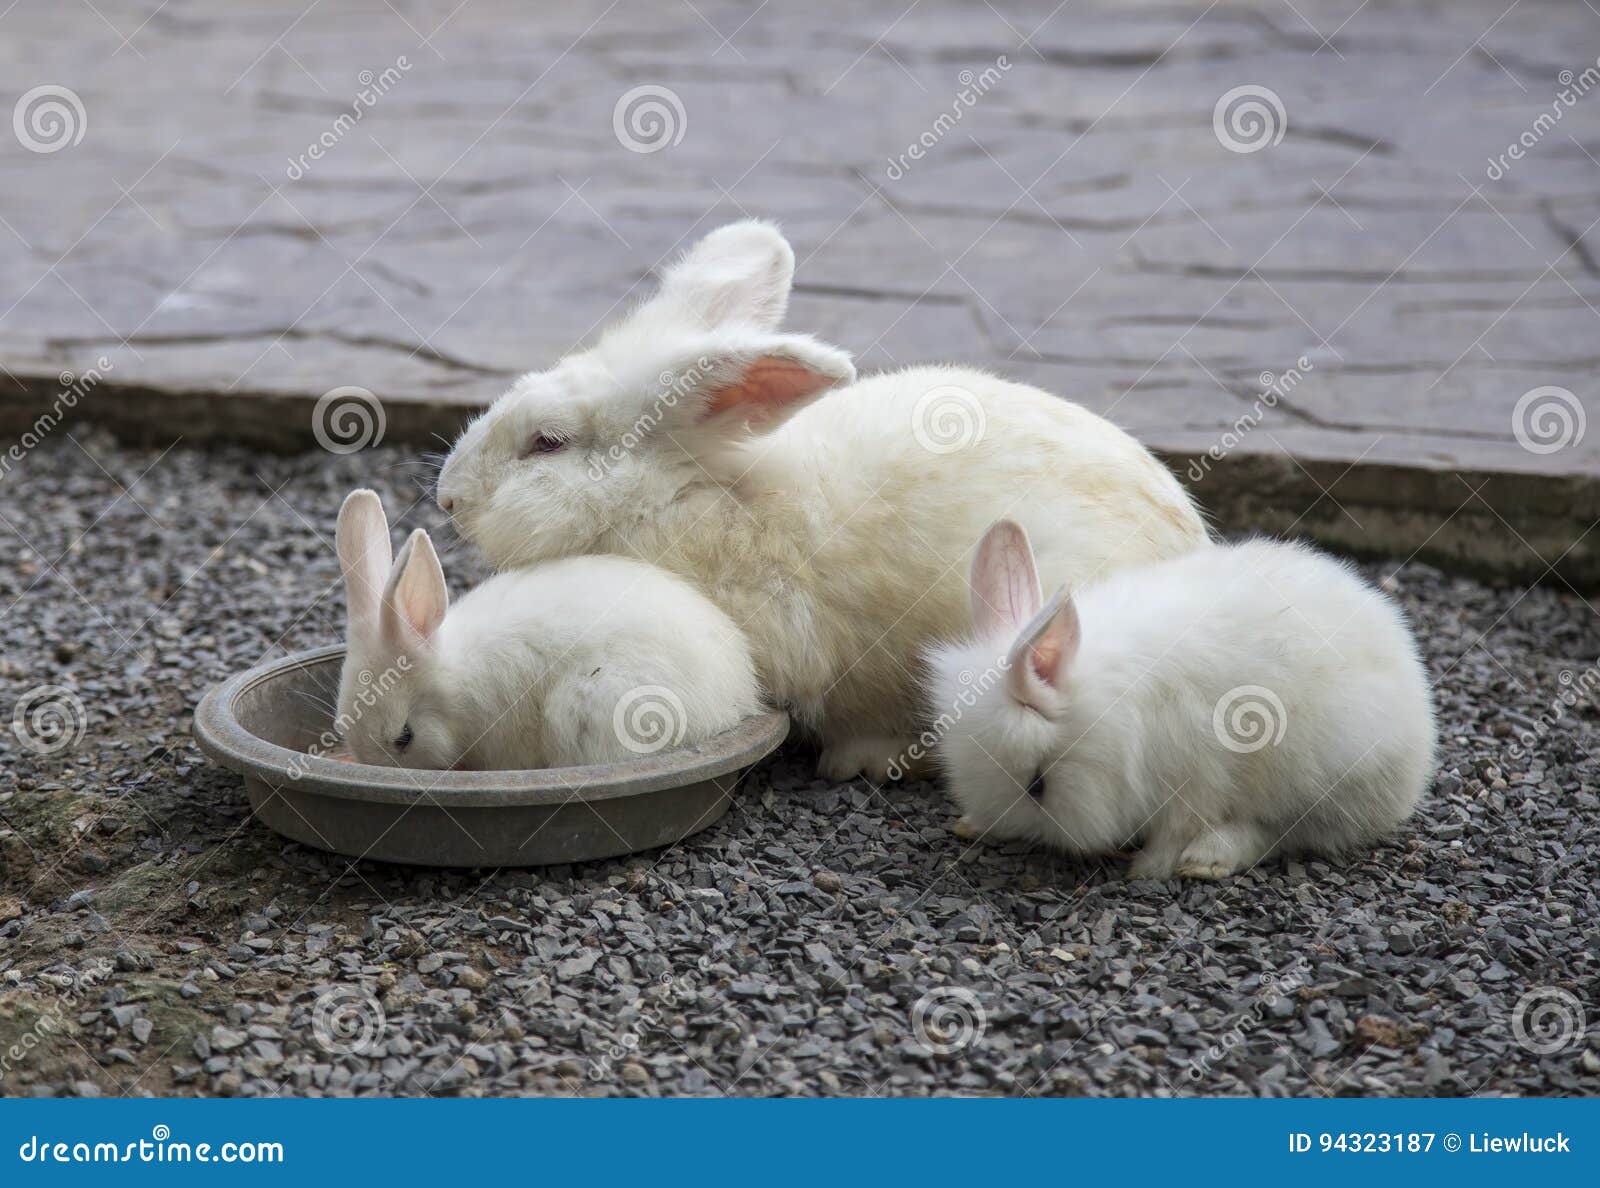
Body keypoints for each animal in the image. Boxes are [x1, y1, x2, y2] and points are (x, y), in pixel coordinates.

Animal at [924, 520, 1436, 879]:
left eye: (1038, 785)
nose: (1013, 830)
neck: (1110, 708)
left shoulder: (1194, 775)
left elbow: (1179, 828)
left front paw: (1147, 870)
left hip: (1319, 775)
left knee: (1281, 832)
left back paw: (1207, 860)